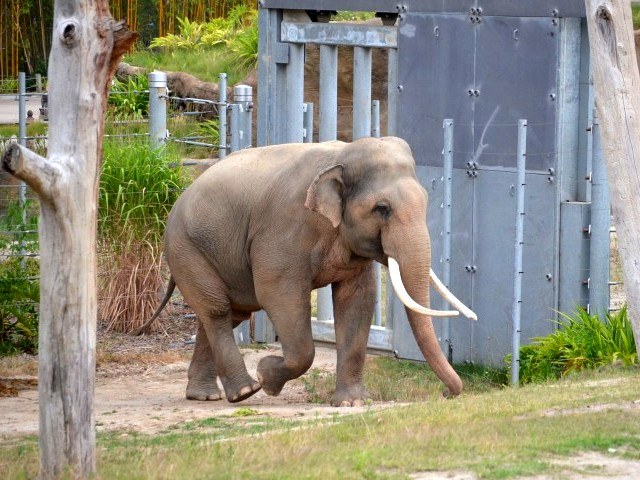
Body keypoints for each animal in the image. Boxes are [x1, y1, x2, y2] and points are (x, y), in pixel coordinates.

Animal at [138, 136, 476, 406]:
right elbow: (277, 294)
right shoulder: (283, 232)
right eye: (382, 208)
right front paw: (266, 378)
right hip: (186, 249)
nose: (445, 394)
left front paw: (351, 404)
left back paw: (205, 395)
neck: (340, 157)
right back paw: (245, 391)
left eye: (426, 200)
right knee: (218, 312)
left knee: (224, 314)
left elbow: (357, 301)